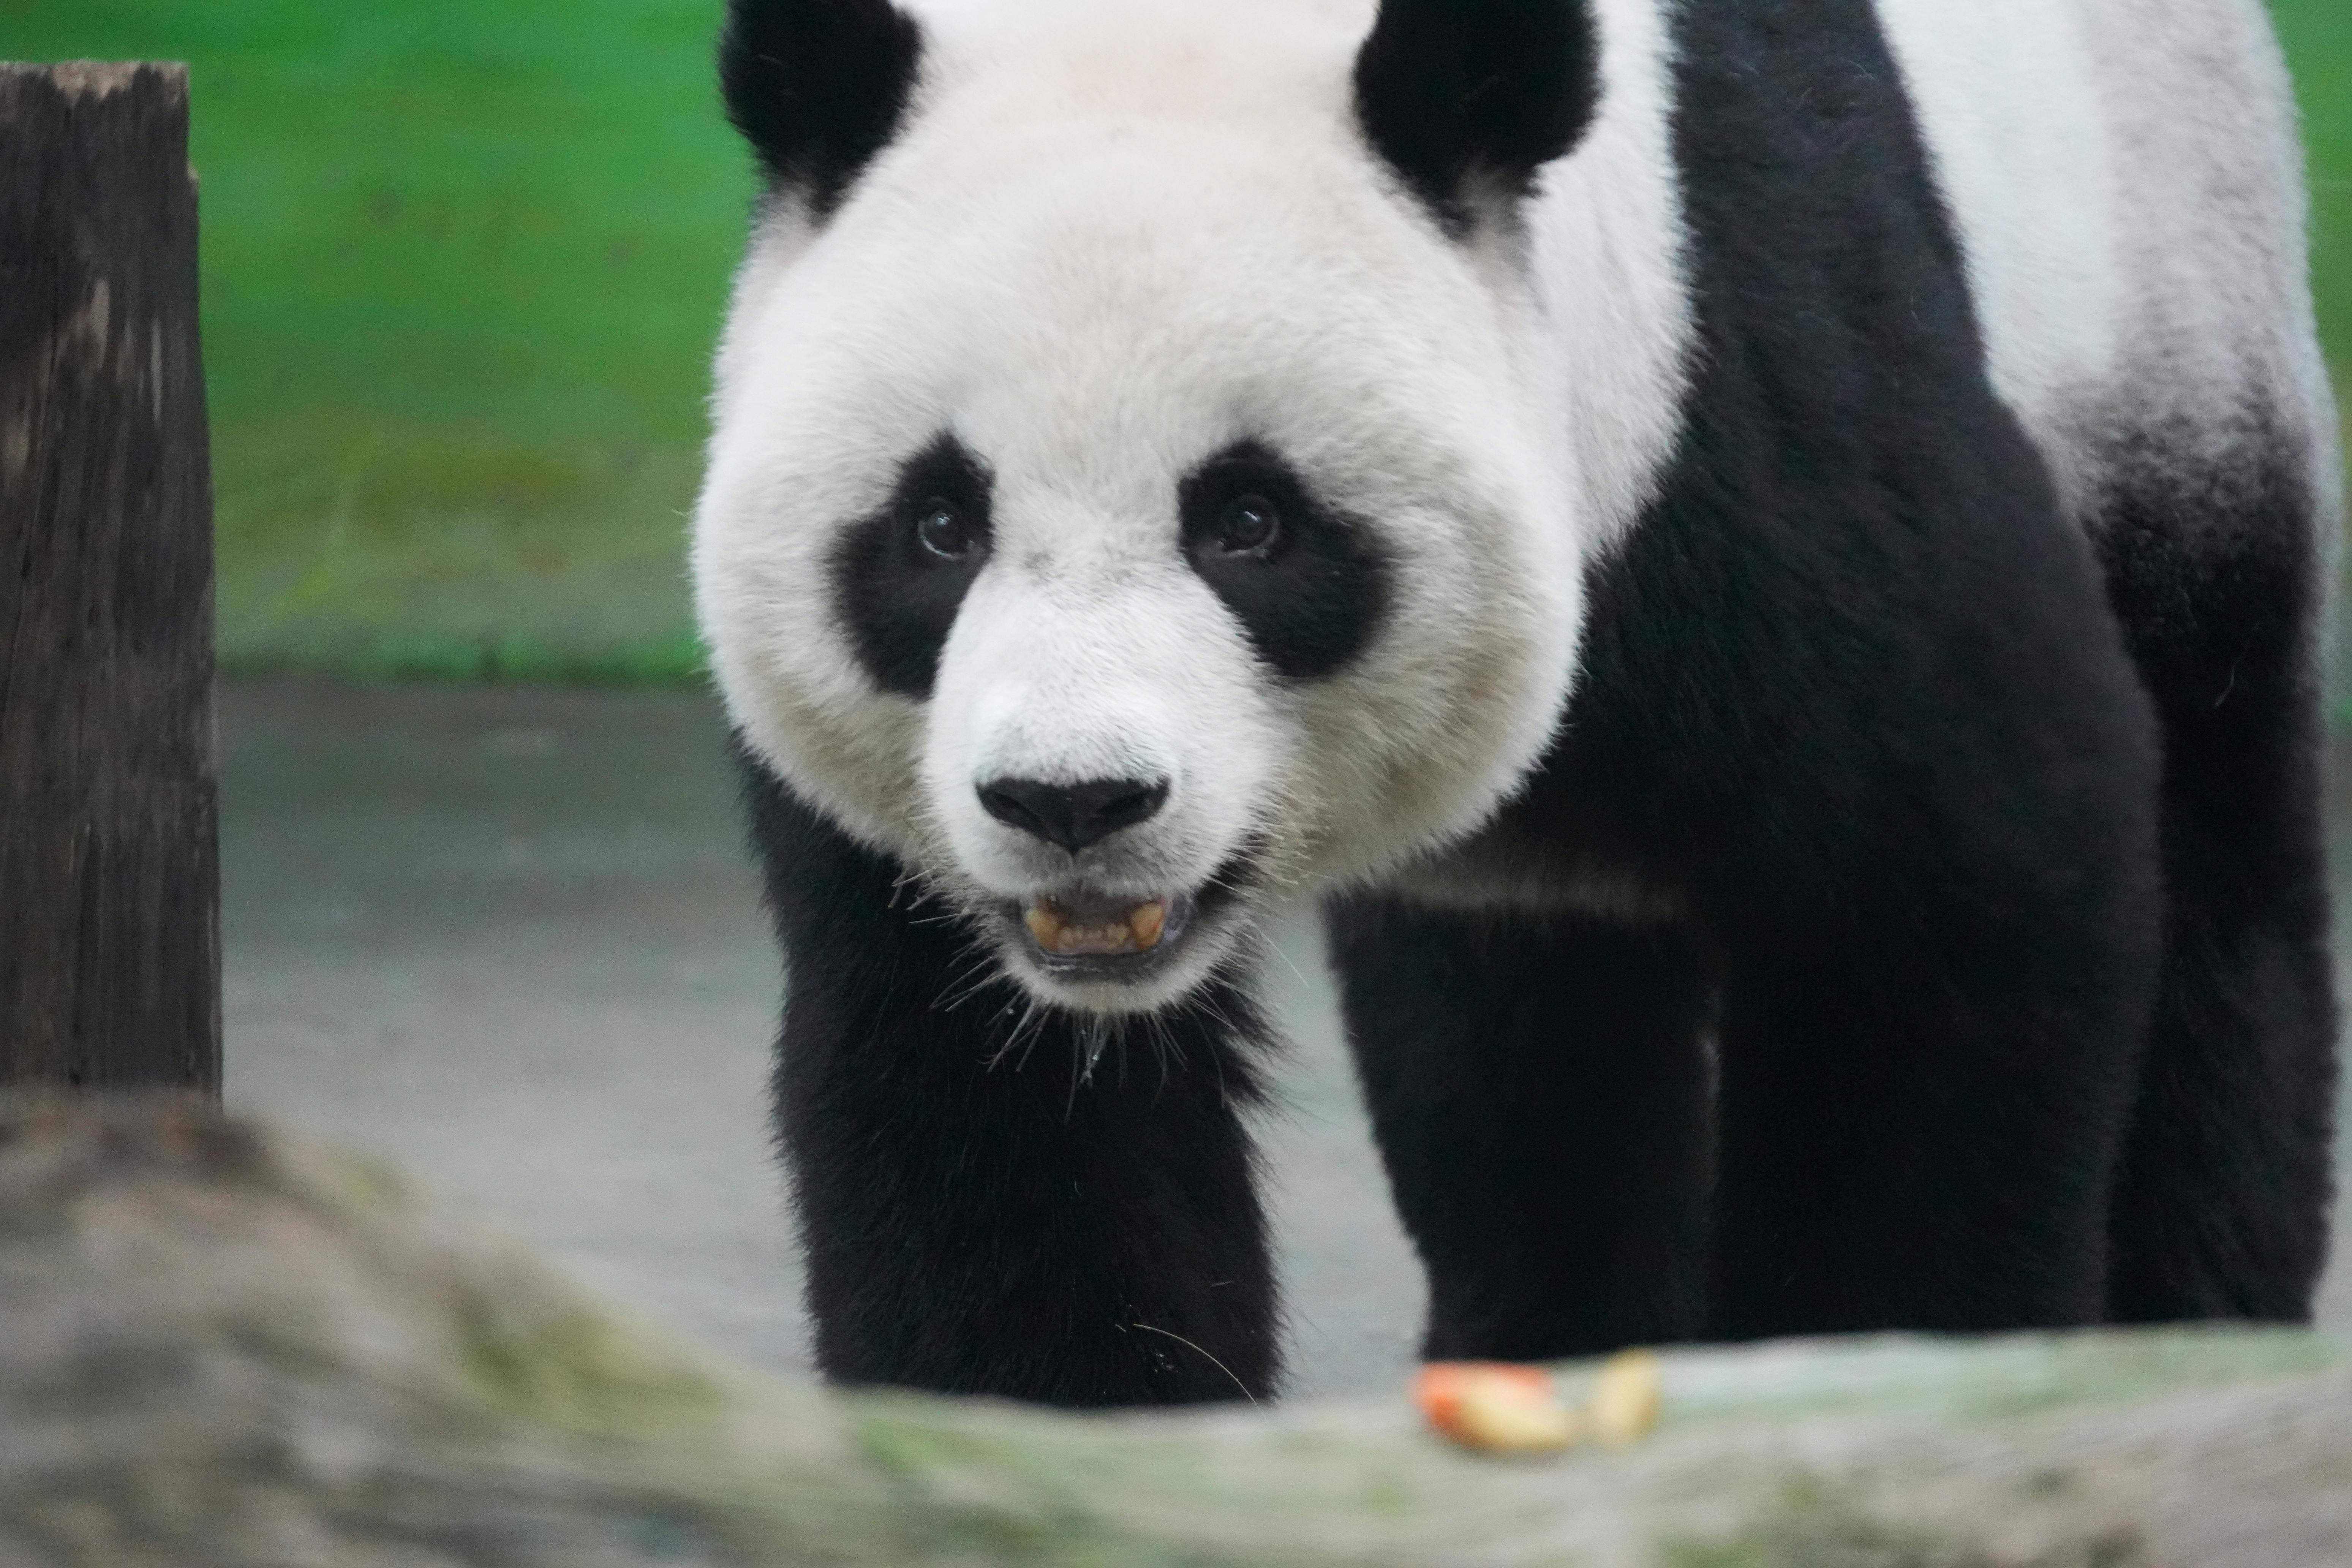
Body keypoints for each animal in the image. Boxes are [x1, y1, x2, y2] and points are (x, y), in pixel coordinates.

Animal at [694, 0, 2341, 1406]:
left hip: (2176, 322)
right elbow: (997, 1120)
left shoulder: (1760, 423)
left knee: (2217, 869)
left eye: (1249, 522)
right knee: (1514, 1034)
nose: (1074, 803)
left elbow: (1963, 896)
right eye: (939, 524)